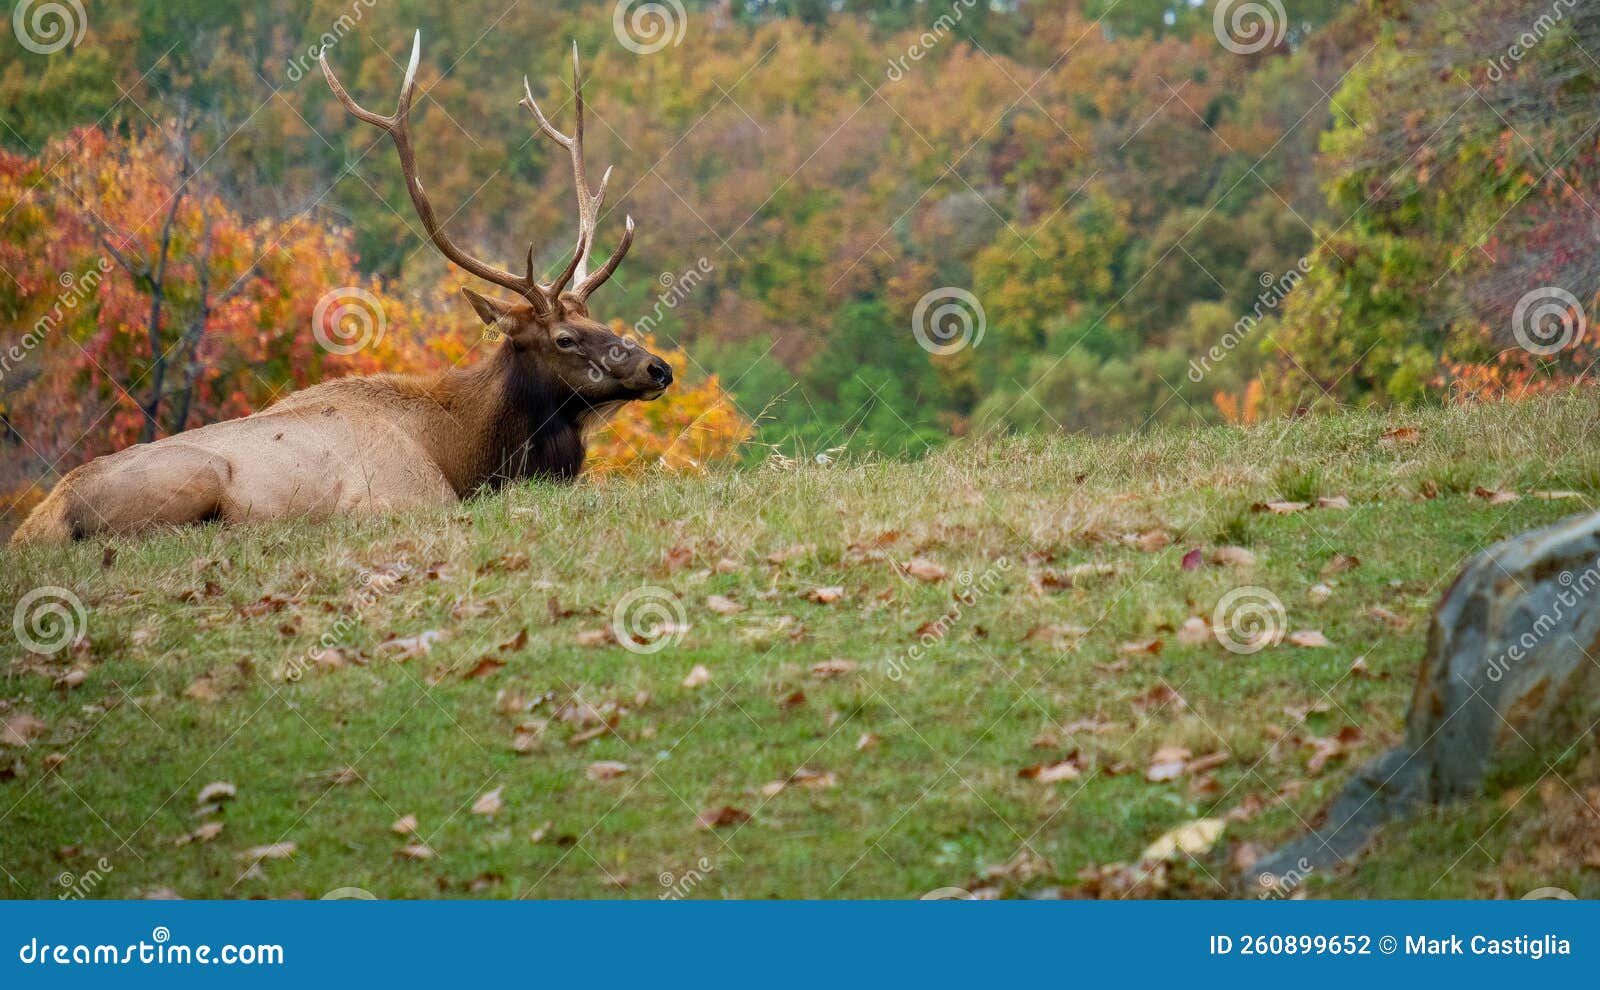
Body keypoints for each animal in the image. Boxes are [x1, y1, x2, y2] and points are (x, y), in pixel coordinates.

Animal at [12, 33, 673, 546]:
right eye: (564, 338)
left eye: (599, 319)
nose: (658, 367)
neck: (464, 451)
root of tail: (36, 525)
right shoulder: (408, 499)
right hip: (192, 483)